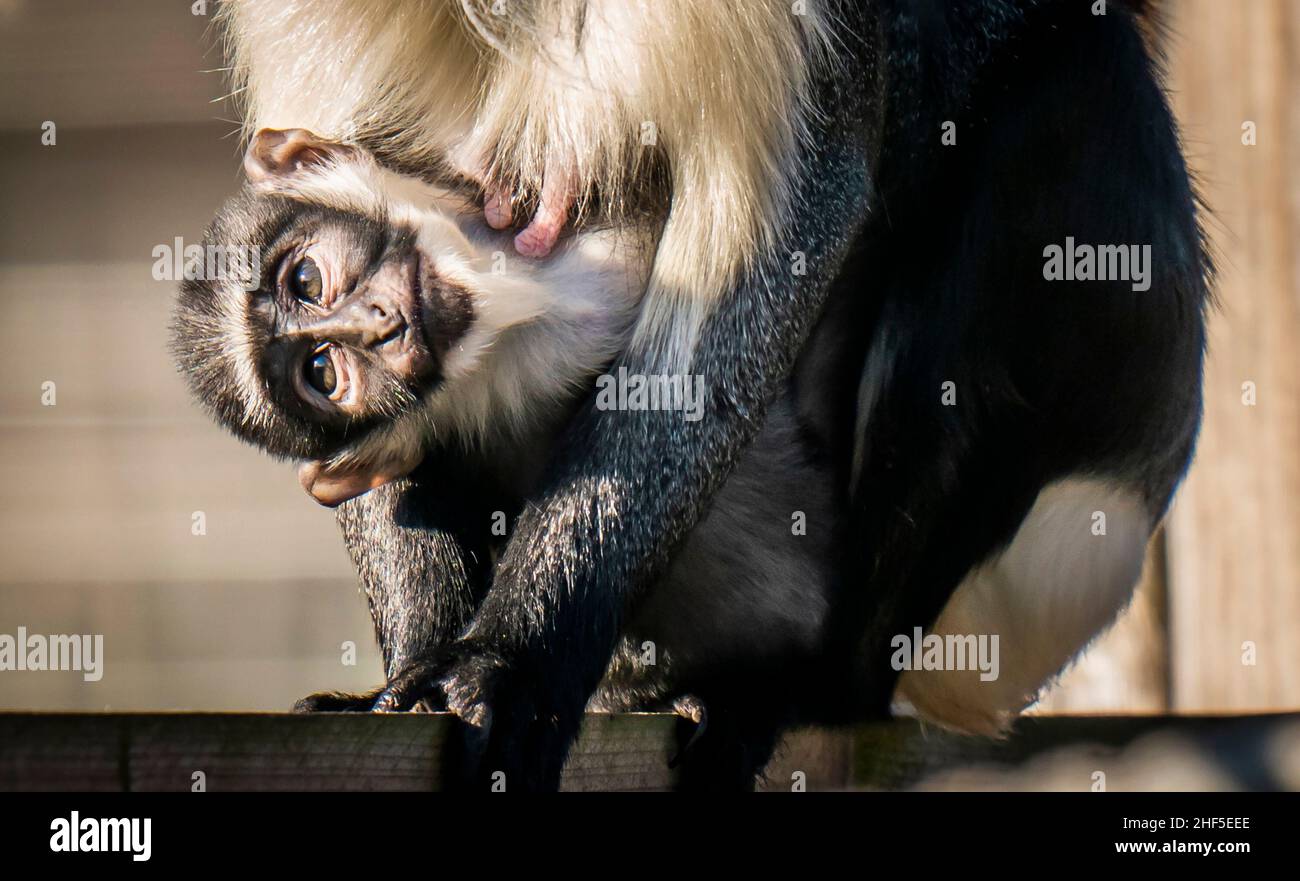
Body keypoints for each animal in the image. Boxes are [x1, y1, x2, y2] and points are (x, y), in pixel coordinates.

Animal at [173, 0, 1210, 790]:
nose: (381, 324)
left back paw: (810, 688)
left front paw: (517, 664)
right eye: (322, 372)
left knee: (1064, 89)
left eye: (307, 280)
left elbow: (794, 209)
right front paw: (419, 664)